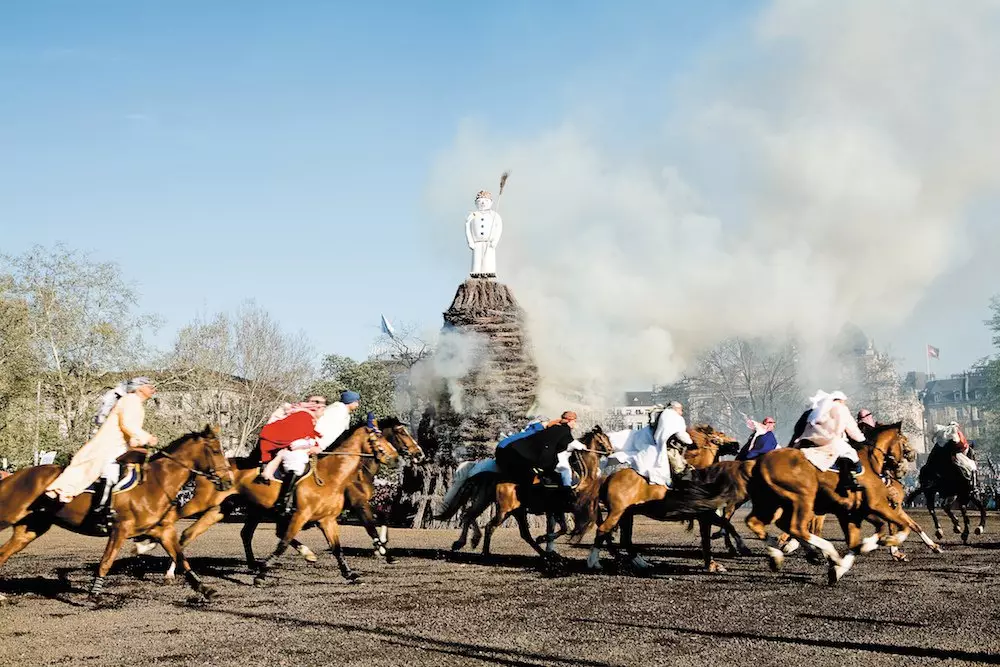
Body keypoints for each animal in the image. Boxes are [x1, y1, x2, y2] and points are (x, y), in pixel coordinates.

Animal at [0, 428, 230, 604]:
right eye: (216, 450)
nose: (228, 480)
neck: (156, 483)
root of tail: (14, 476)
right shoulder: (120, 529)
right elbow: (106, 561)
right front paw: (94, 594)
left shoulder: (162, 530)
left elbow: (181, 558)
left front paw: (204, 588)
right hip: (9, 516)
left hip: (29, 529)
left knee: (3, 553)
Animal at [744, 422, 944, 584]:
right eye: (904, 439)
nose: (912, 456)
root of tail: (761, 463)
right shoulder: (880, 506)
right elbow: (905, 526)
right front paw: (892, 544)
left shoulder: (856, 513)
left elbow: (869, 537)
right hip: (803, 500)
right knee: (796, 527)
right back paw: (821, 551)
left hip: (775, 503)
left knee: (764, 523)